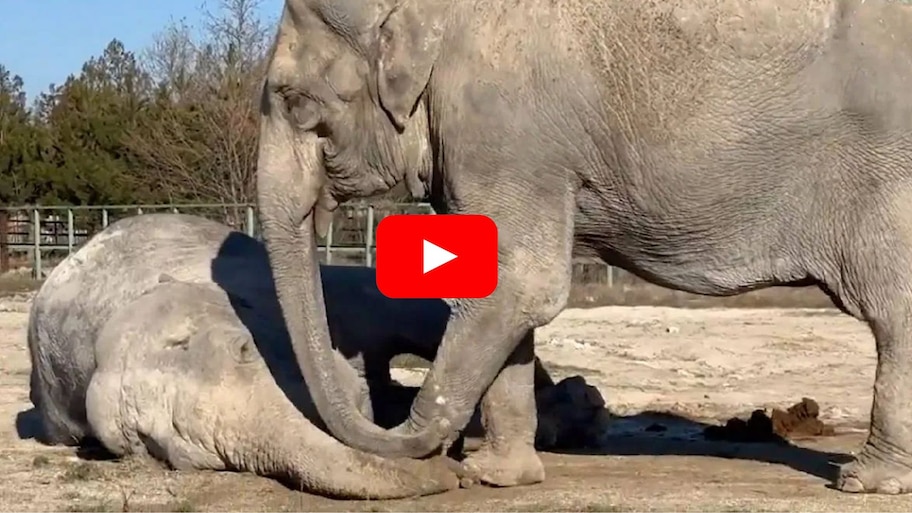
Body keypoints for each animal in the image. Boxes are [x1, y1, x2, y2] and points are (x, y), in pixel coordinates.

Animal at [254, 0, 912, 494]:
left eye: (294, 102)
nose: (374, 408)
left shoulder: (498, 126)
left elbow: (523, 283)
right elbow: (509, 287)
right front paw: (499, 477)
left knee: (893, 312)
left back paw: (865, 482)